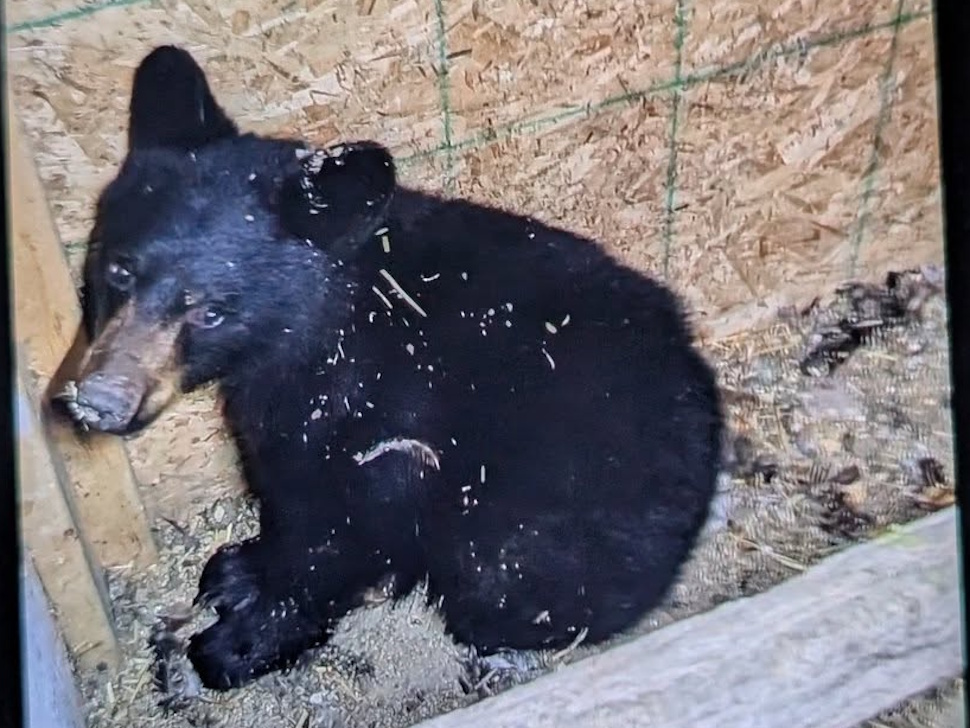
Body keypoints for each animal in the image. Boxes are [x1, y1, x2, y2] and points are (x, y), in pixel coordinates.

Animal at [55, 45, 725, 692]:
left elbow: (341, 528)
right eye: (119, 270)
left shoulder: (383, 416)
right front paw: (241, 568)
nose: (102, 400)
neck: (318, 327)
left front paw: (237, 643)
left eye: (213, 311)